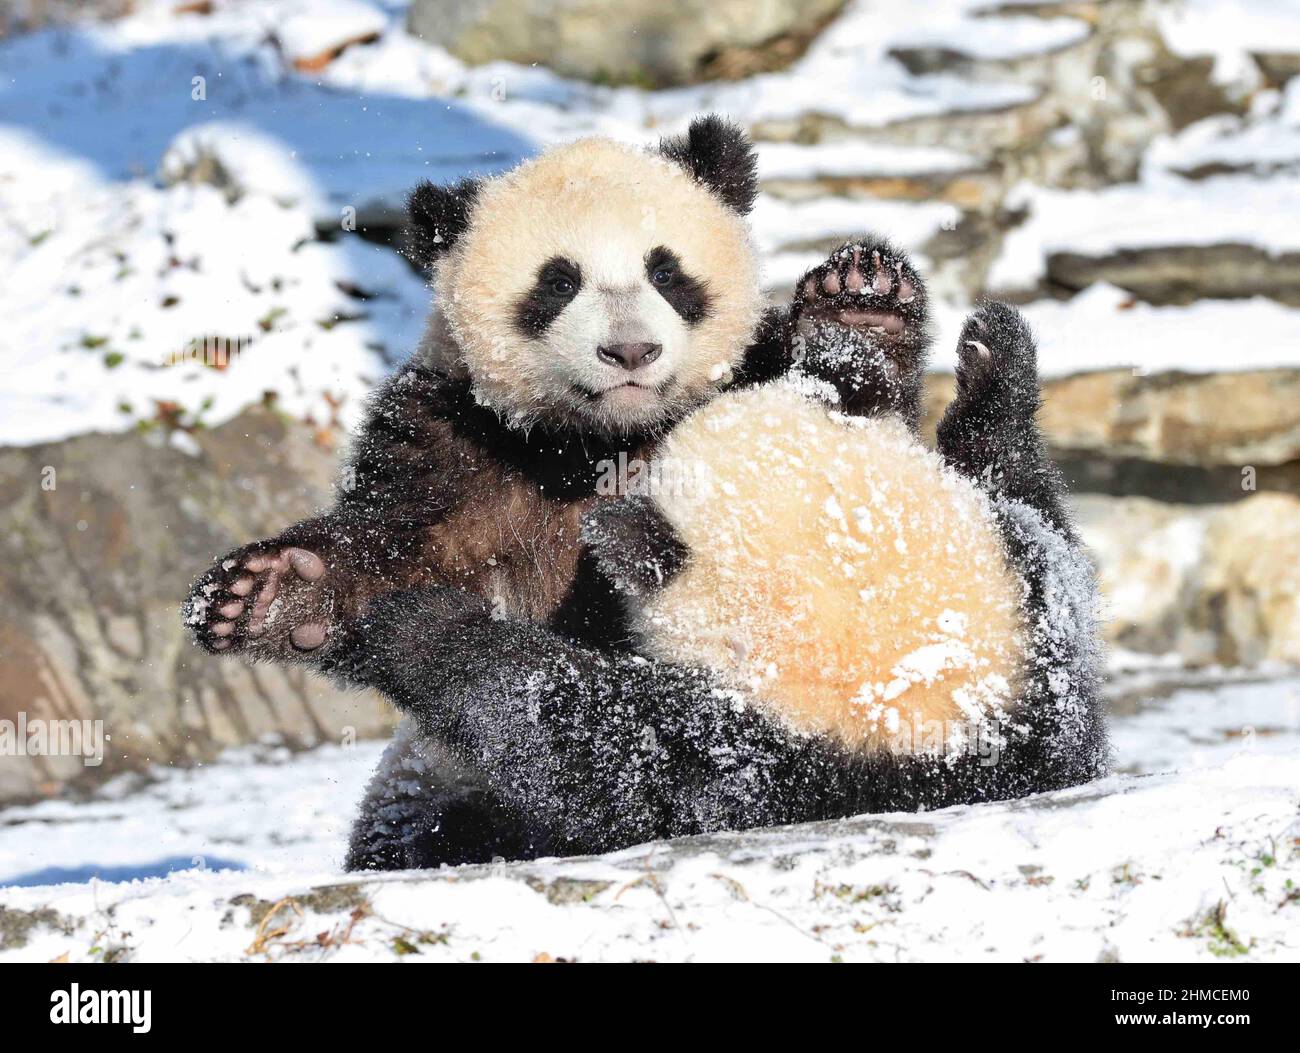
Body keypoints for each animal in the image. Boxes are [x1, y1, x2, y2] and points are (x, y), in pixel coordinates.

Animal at [184, 117, 1108, 870]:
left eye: (667, 271)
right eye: (558, 281)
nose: (629, 351)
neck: (605, 442)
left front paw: (864, 306)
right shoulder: (459, 440)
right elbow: (396, 530)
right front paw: (274, 591)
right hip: (432, 779)